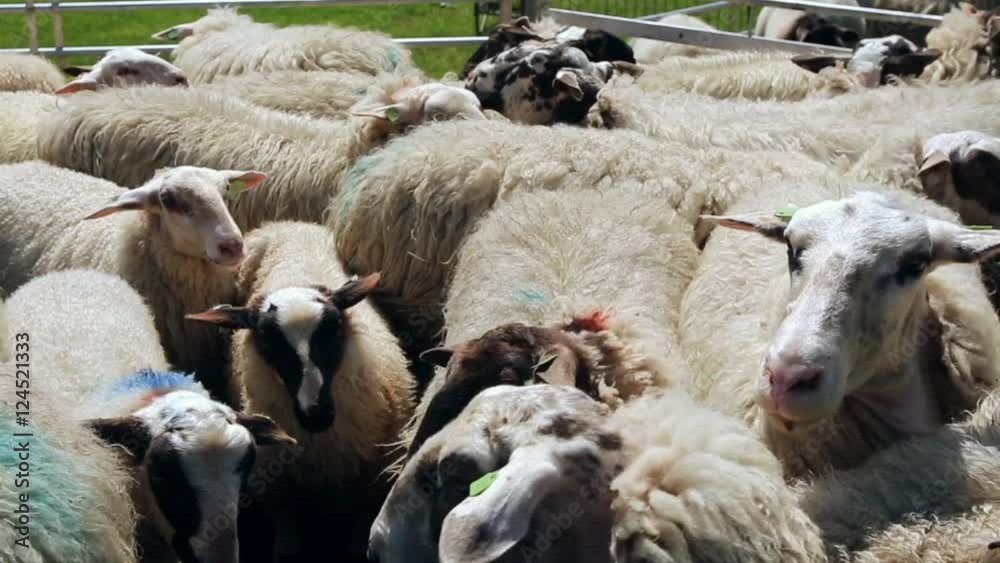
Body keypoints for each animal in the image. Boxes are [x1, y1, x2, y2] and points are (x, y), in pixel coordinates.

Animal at [185, 221, 415, 561]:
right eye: (267, 340)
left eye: (334, 328)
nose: (315, 414)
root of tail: (288, 224)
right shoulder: (281, 492)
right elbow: (286, 544)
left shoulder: (368, 486)